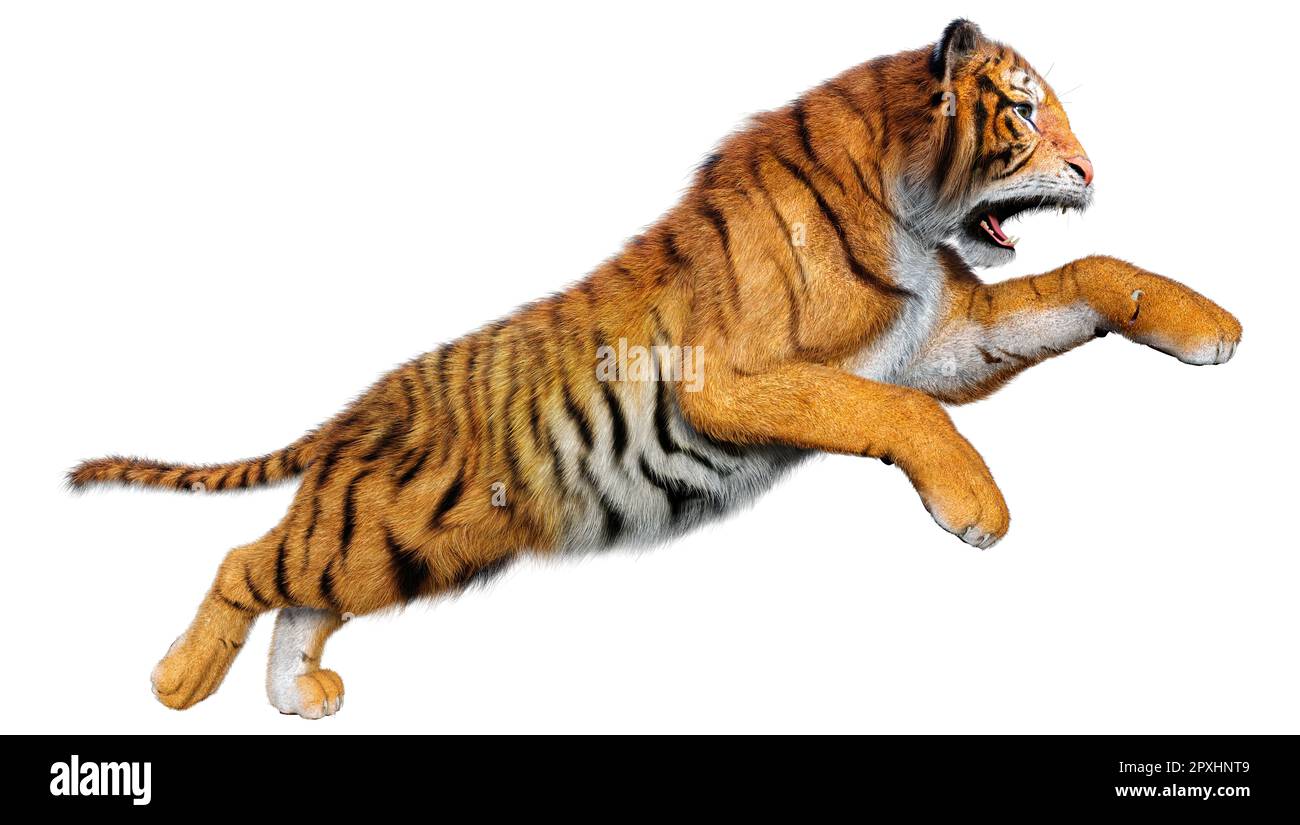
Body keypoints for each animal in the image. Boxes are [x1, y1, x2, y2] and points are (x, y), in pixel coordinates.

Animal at [70, 20, 1241, 718]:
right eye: (1026, 108)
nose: (1091, 169)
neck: (911, 211)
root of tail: (360, 408)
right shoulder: (739, 375)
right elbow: (890, 412)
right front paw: (976, 509)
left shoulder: (944, 342)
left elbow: (1094, 273)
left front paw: (1211, 325)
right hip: (384, 528)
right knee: (245, 561)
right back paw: (175, 683)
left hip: (406, 544)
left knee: (298, 592)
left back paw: (296, 697)